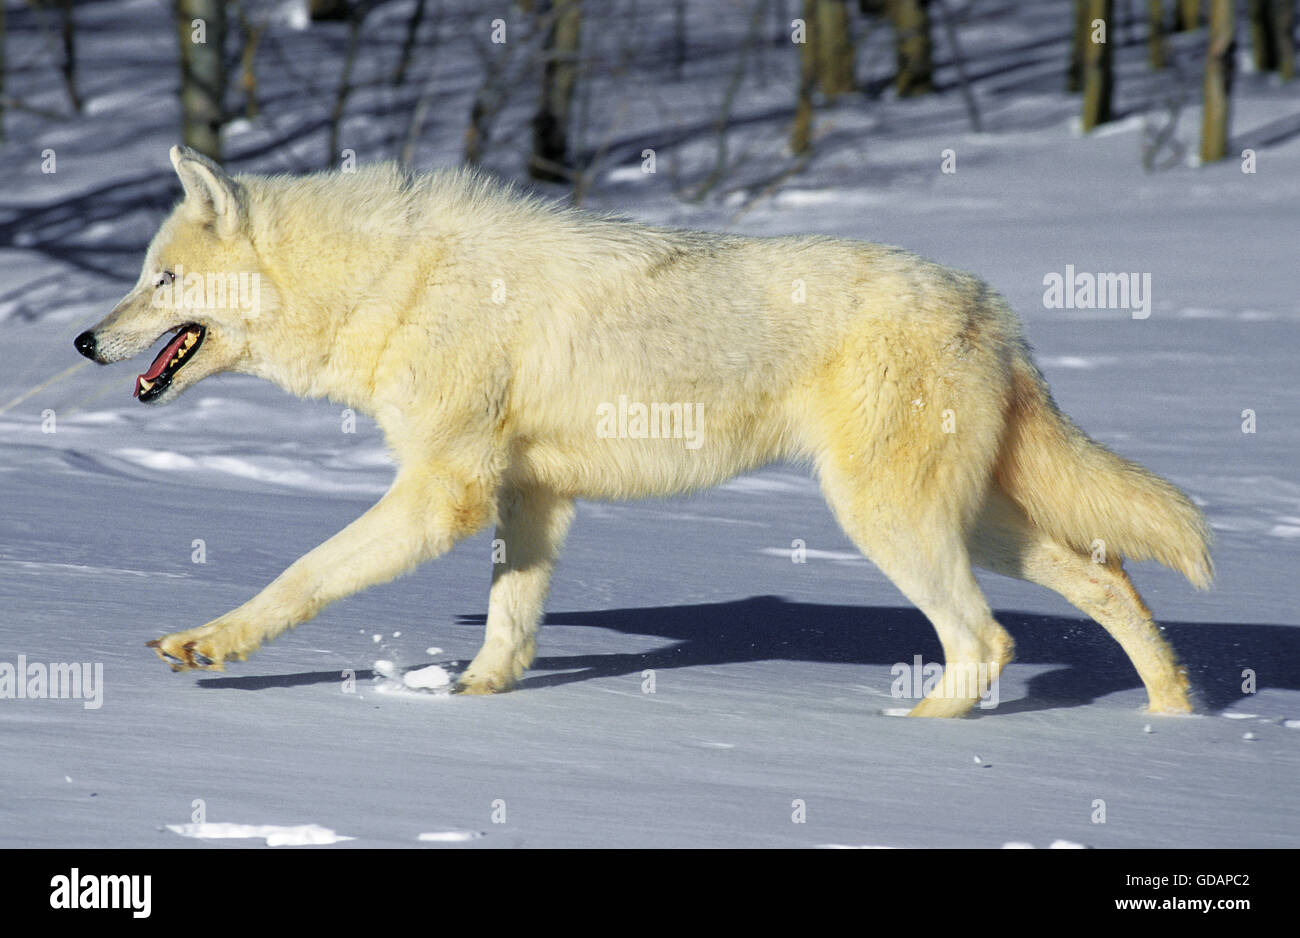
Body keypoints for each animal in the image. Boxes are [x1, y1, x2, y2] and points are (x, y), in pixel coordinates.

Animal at [73, 145, 1212, 717]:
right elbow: (512, 622)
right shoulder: (530, 499)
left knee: (987, 639)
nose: (84, 339)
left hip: (894, 522)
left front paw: (211, 643)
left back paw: (917, 733)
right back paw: (1171, 718)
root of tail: (990, 307)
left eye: (160, 279)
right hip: (976, 524)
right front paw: (472, 699)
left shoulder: (444, 493)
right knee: (1109, 580)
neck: (390, 283)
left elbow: (301, 574)